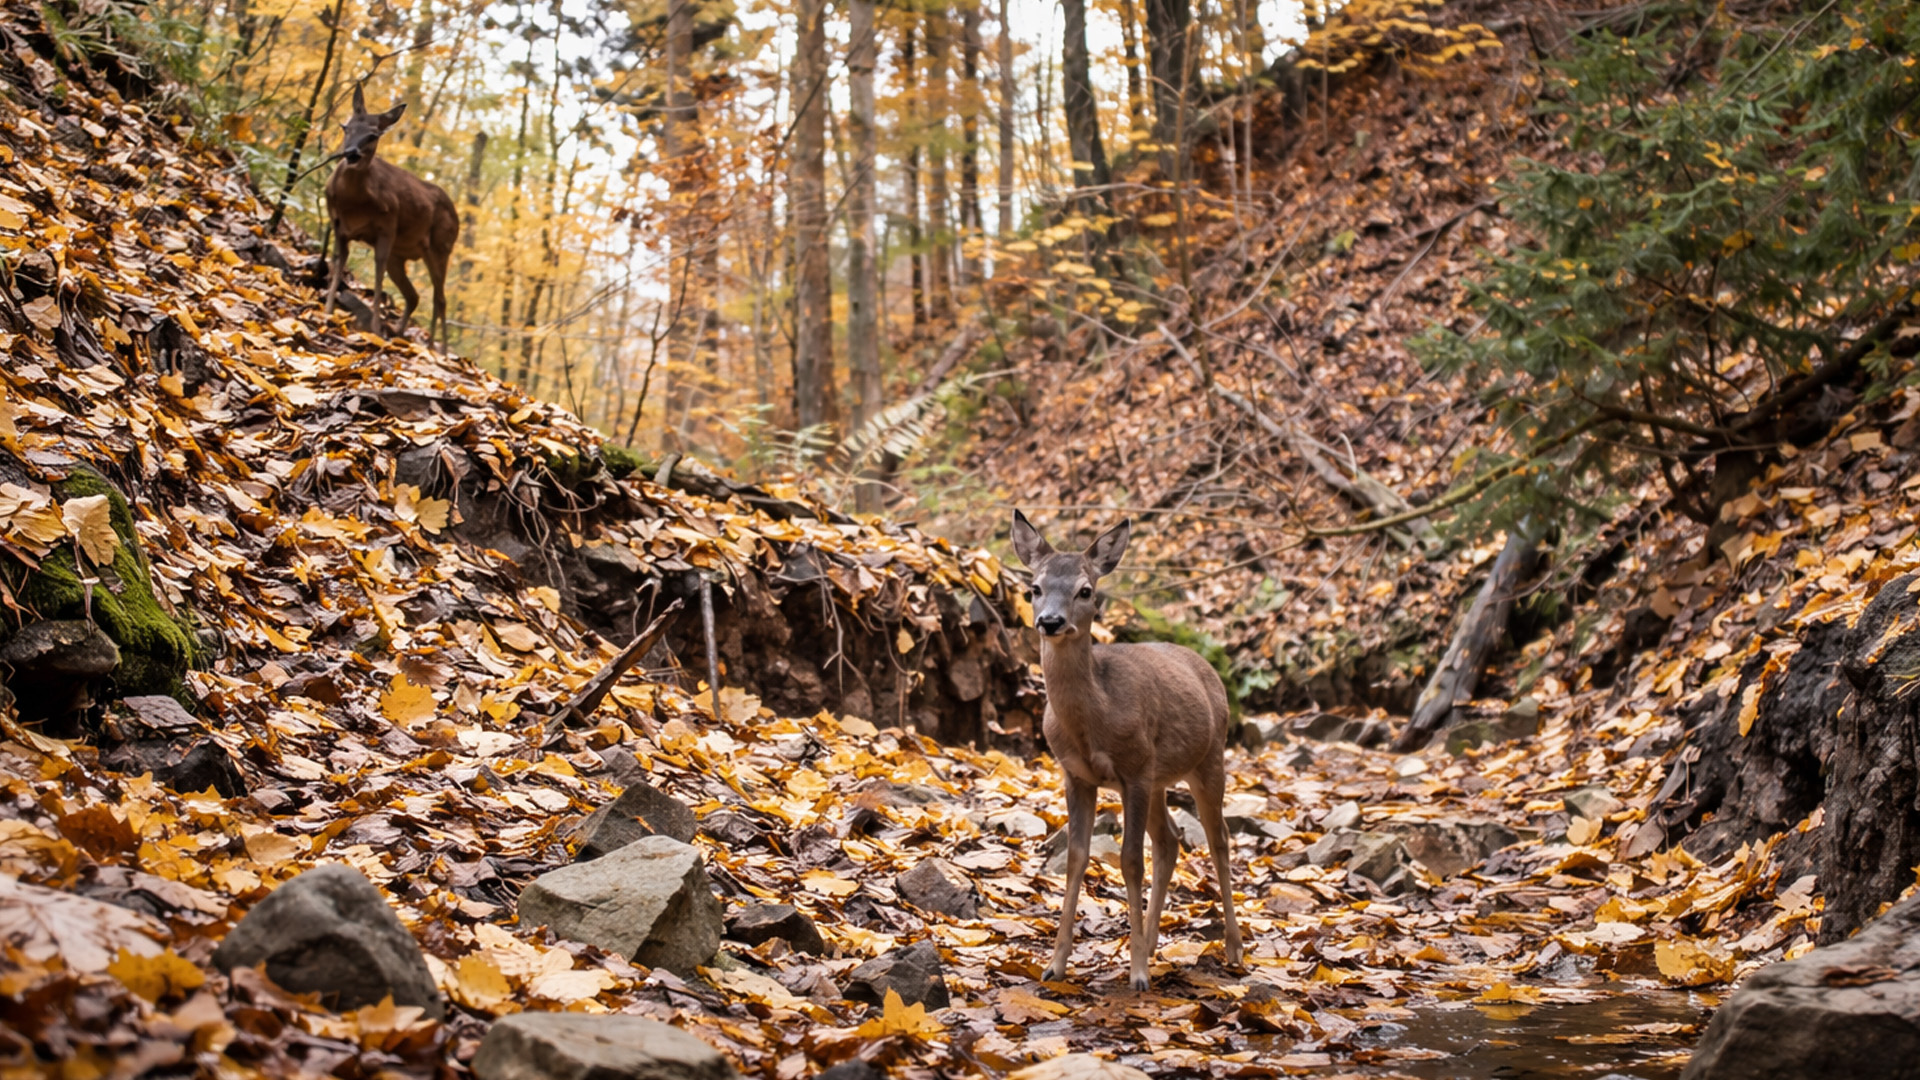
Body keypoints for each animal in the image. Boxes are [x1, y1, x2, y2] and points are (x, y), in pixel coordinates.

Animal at [324, 85, 459, 352]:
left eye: (373, 135)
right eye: (346, 127)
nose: (350, 154)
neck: (354, 201)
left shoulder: (388, 225)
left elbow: (377, 271)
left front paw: (375, 328)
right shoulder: (338, 225)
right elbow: (338, 263)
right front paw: (327, 310)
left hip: (441, 247)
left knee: (440, 298)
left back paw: (438, 349)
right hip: (402, 254)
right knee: (414, 295)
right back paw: (400, 332)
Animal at [1010, 510, 1242, 991]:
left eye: (1086, 590)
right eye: (1034, 587)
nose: (1050, 621)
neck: (1093, 721)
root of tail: (1209, 668)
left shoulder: (1134, 770)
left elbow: (1130, 860)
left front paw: (1136, 974)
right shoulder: (1076, 774)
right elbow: (1076, 857)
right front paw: (1055, 964)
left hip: (1208, 759)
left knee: (1219, 839)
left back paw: (1233, 949)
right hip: (1158, 777)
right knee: (1170, 839)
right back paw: (1152, 944)